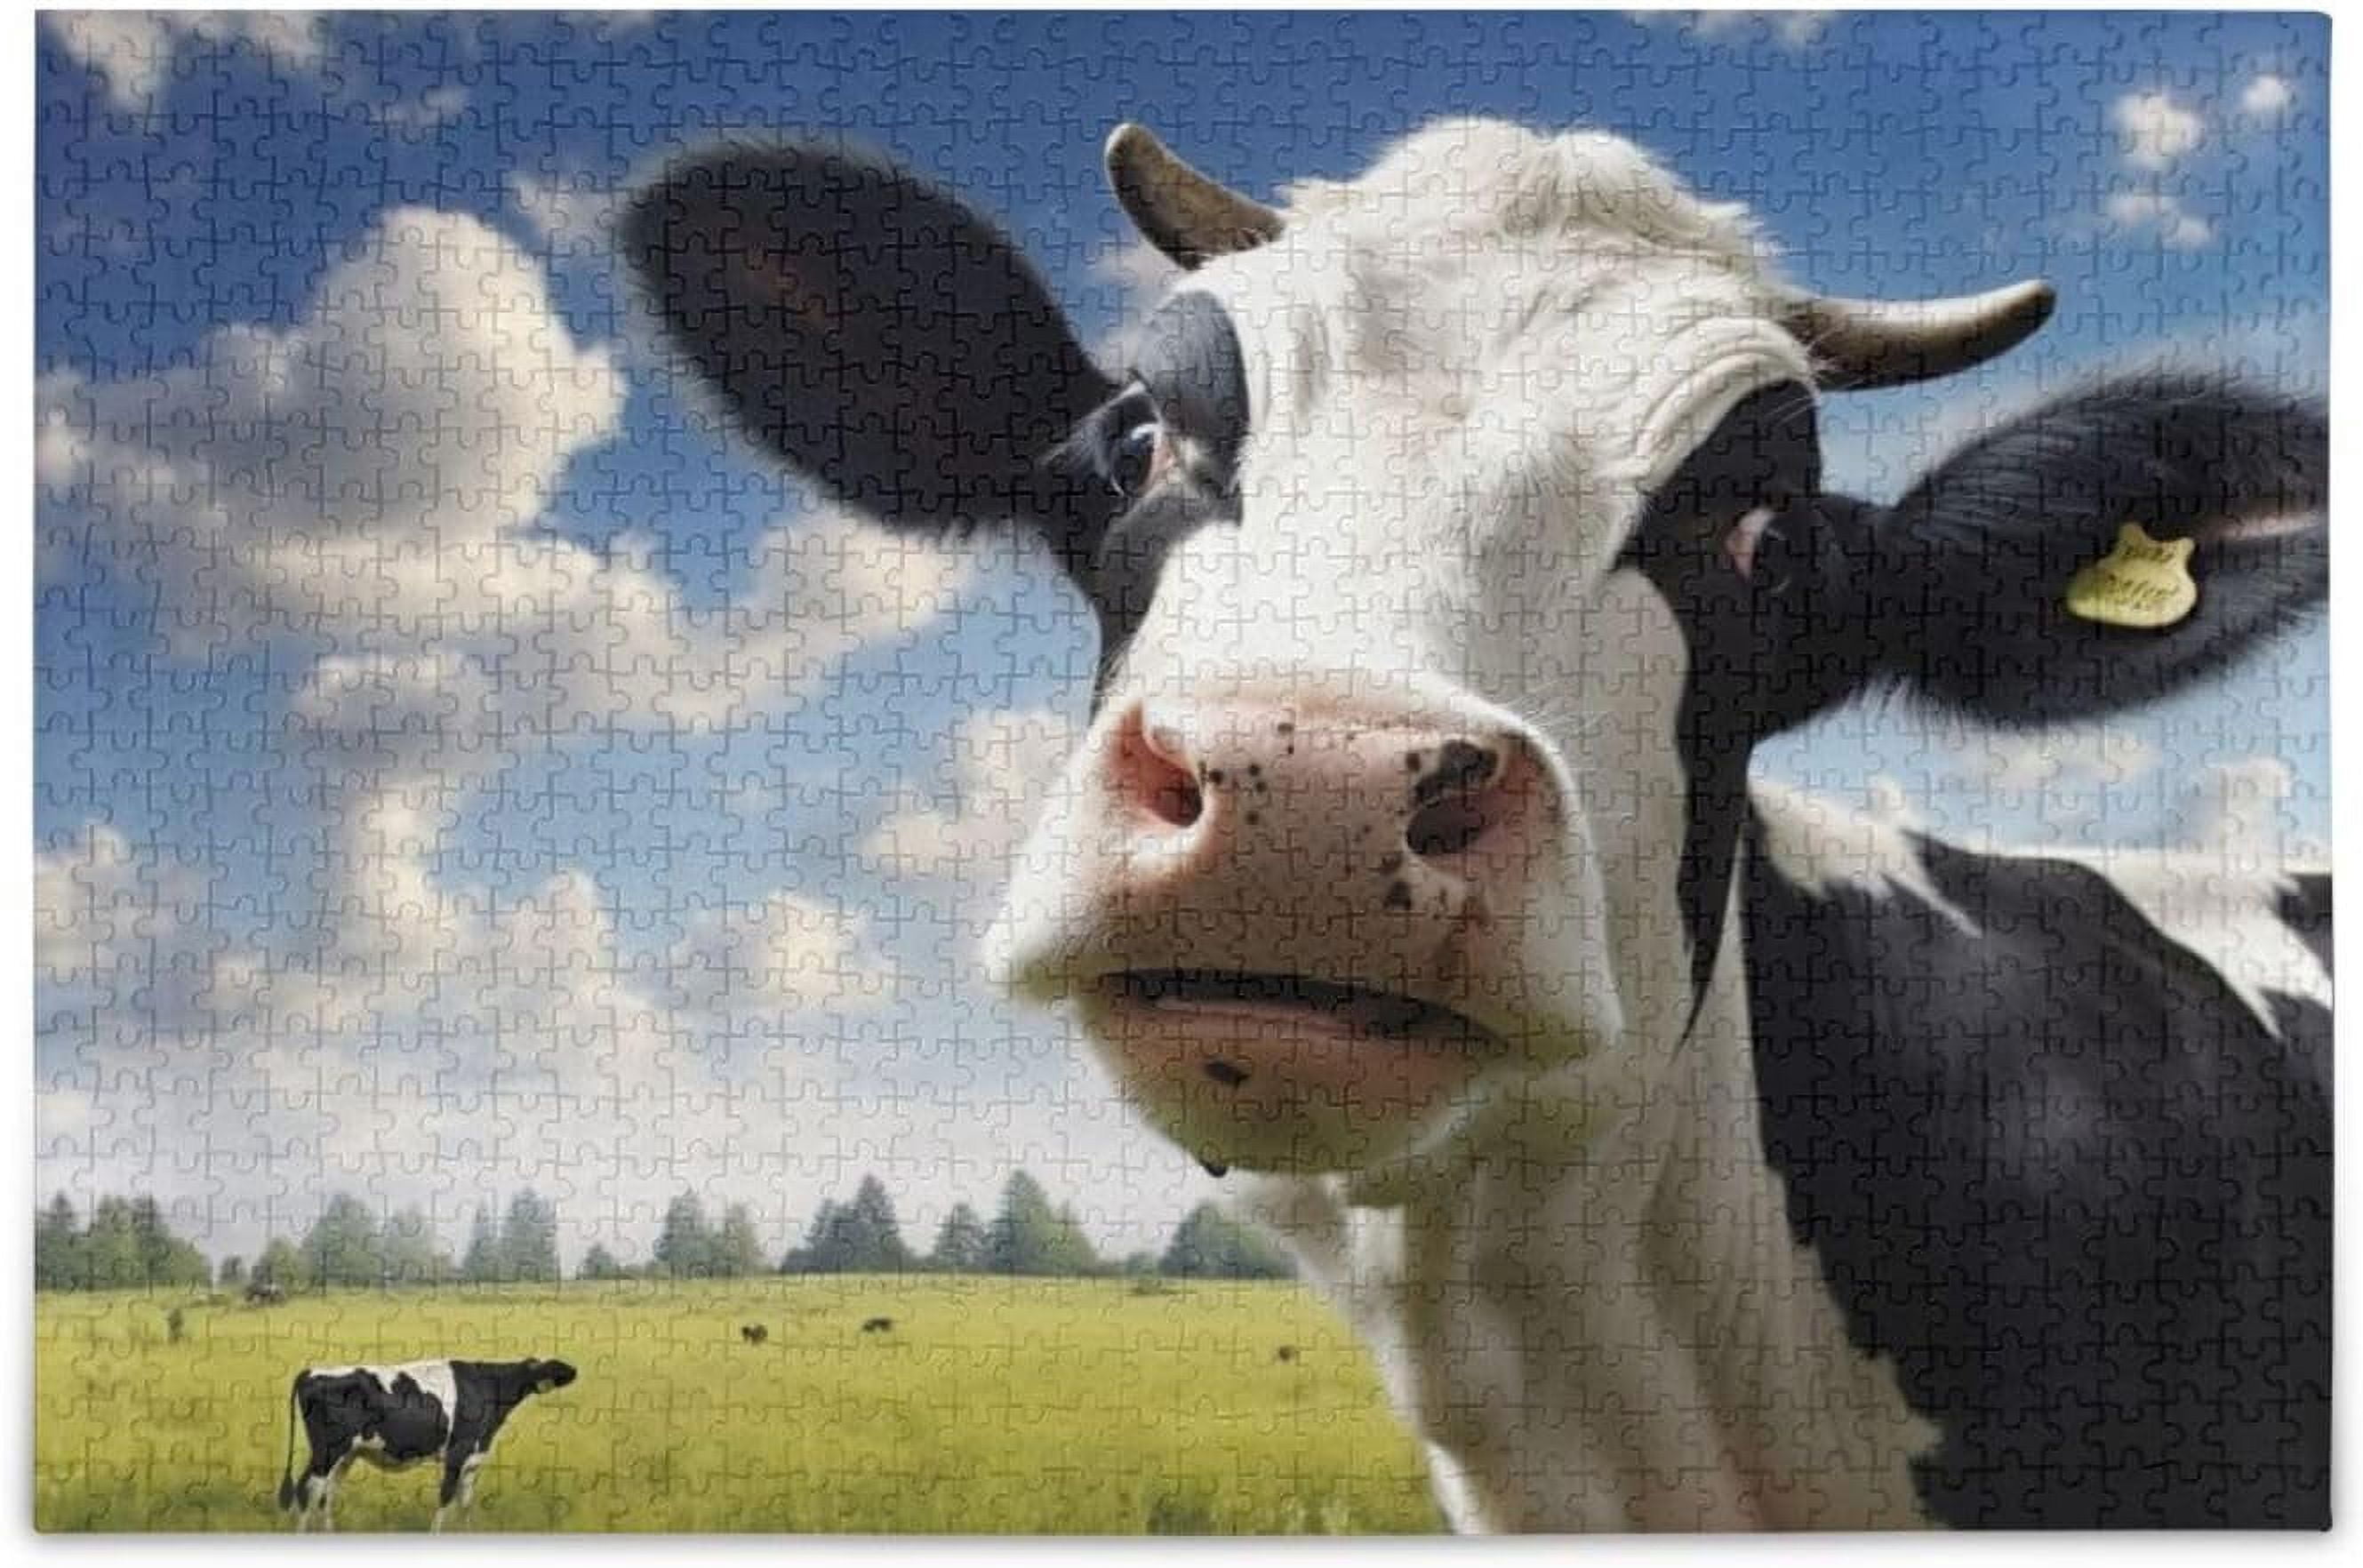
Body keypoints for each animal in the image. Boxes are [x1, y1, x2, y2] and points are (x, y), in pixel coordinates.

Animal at [278, 1358, 578, 1532]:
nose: (574, 1370)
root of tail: (310, 1371)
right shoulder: (457, 1454)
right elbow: (445, 1498)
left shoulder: (473, 1459)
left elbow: (466, 1504)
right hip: (326, 1451)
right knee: (307, 1489)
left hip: (345, 1455)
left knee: (326, 1494)